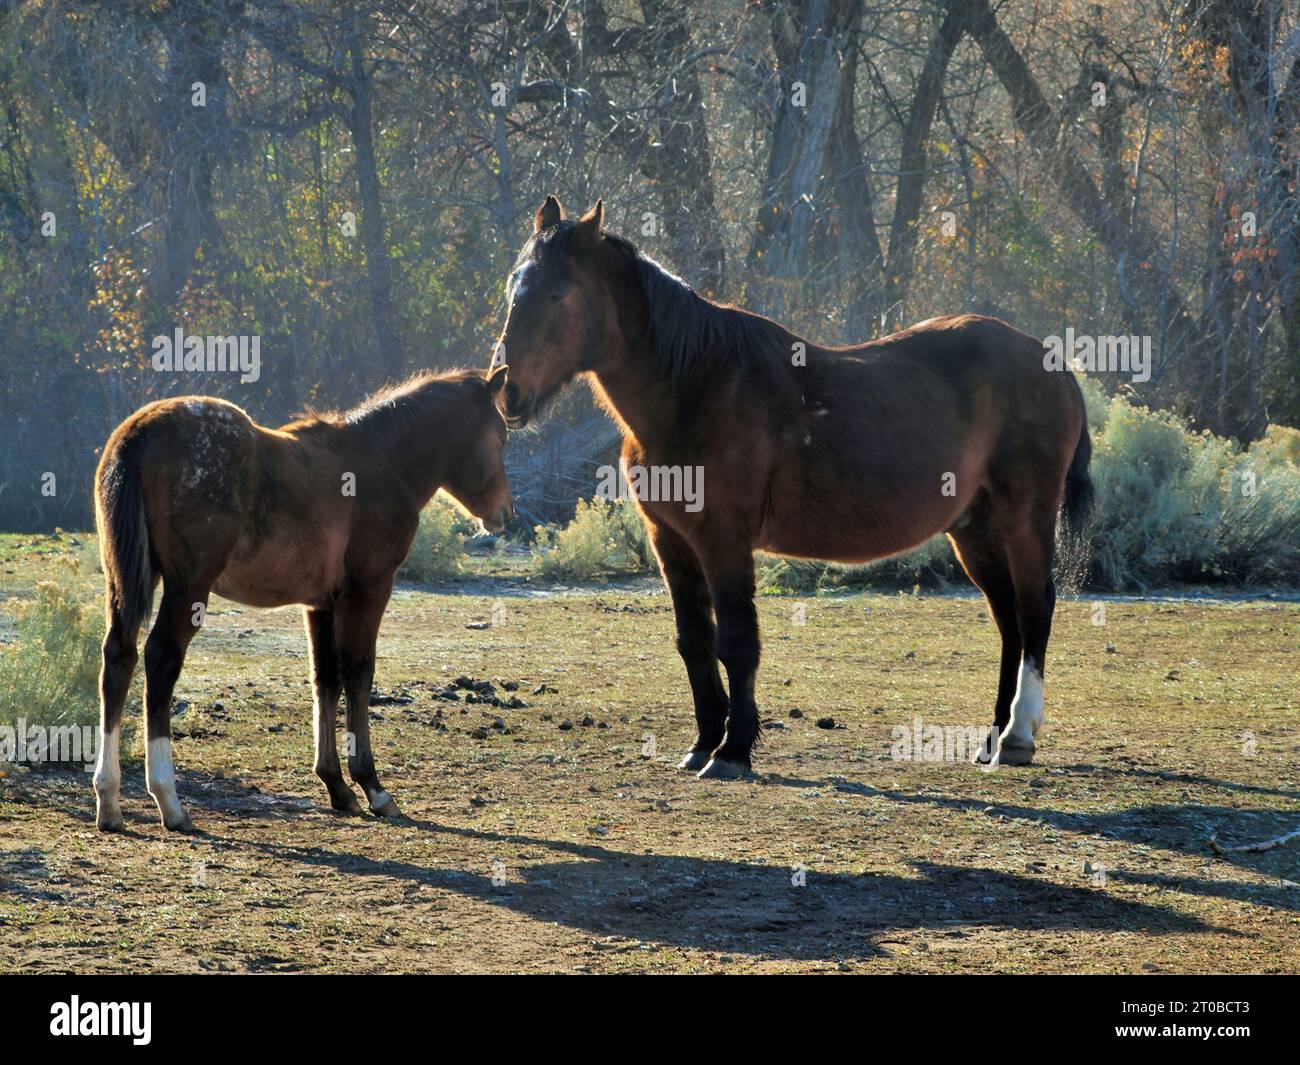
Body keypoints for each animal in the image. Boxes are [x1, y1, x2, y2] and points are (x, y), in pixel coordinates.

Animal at [92, 366, 512, 831]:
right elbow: (358, 674)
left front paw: (337, 787)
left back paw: (109, 801)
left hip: (124, 578)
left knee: (119, 656)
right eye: (500, 437)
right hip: (189, 586)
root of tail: (140, 431)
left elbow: (325, 678)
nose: (505, 513)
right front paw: (373, 788)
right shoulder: (368, 589)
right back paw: (169, 800)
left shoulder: (321, 603)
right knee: (161, 659)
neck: (381, 463)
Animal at [493, 196, 1093, 780]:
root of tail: (1050, 359)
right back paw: (991, 742)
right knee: (1009, 621)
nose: (507, 392)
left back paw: (1017, 735)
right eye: (511, 286)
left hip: (1024, 518)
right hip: (973, 531)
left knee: (1034, 608)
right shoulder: (671, 542)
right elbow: (694, 643)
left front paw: (732, 751)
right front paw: (701, 744)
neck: (695, 387)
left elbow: (737, 644)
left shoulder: (724, 541)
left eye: (557, 293)